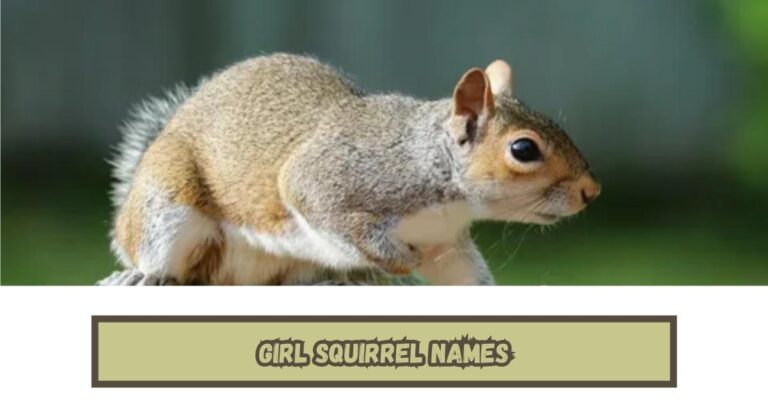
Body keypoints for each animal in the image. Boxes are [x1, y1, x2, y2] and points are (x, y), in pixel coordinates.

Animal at [105, 53, 600, 286]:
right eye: (523, 149)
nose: (591, 191)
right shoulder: (329, 180)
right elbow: (333, 217)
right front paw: (398, 261)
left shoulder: (444, 243)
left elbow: (462, 275)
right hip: (166, 203)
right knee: (154, 248)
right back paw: (143, 274)